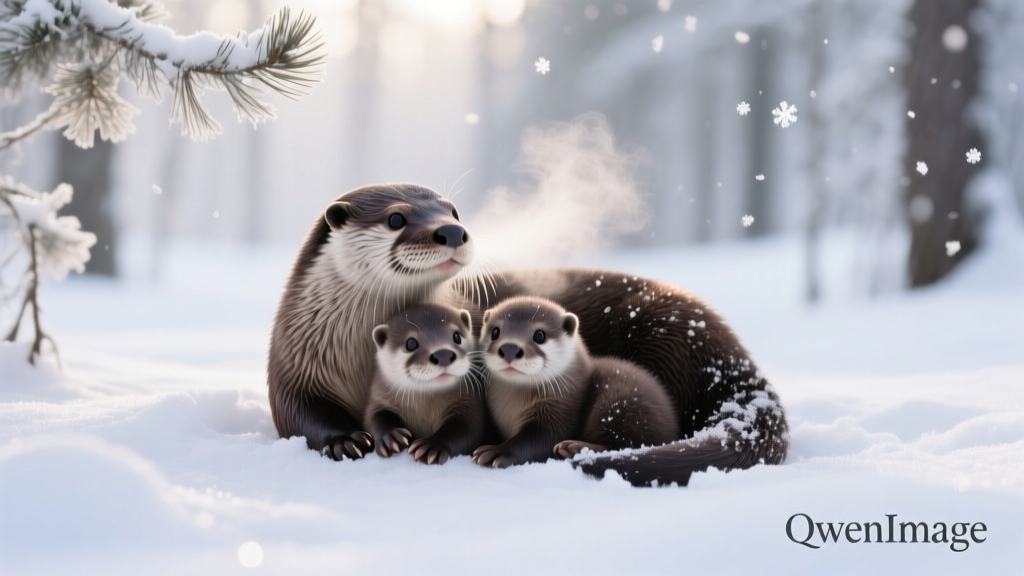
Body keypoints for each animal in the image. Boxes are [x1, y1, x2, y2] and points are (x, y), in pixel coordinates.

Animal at [365, 303, 488, 465]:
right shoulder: (380, 397)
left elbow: (467, 429)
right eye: (411, 343)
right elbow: (374, 417)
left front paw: (431, 446)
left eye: (457, 336)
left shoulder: (469, 403)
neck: (425, 408)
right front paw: (390, 437)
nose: (443, 354)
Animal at [471, 297, 678, 468]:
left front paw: (496, 451)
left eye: (539, 335)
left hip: (620, 405)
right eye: (495, 332)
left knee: (624, 444)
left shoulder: (561, 410)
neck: (512, 408)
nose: (510, 348)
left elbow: (540, 439)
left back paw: (573, 447)